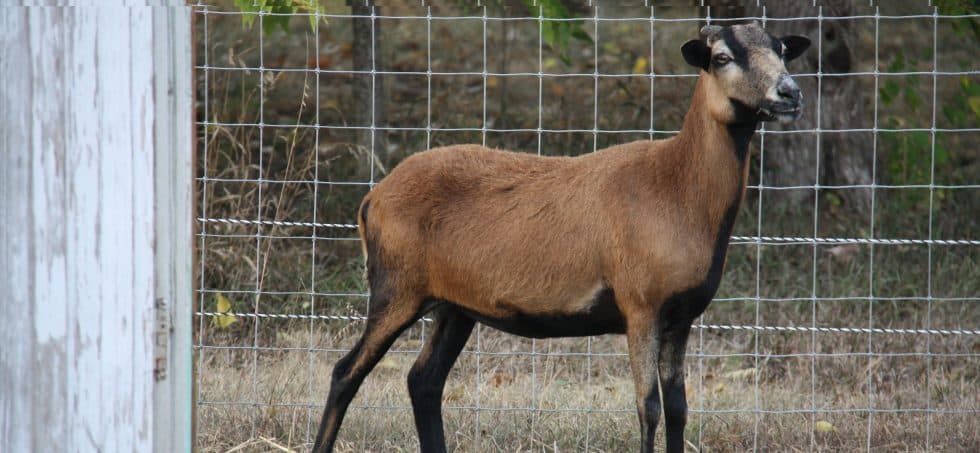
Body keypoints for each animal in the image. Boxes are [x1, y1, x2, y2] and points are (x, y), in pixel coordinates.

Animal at [313, 22, 811, 453]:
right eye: (722, 57)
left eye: (782, 51)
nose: (790, 93)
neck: (677, 188)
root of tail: (372, 198)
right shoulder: (640, 305)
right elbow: (648, 407)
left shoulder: (682, 315)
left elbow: (678, 408)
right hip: (396, 288)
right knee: (345, 373)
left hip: (456, 304)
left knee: (423, 380)